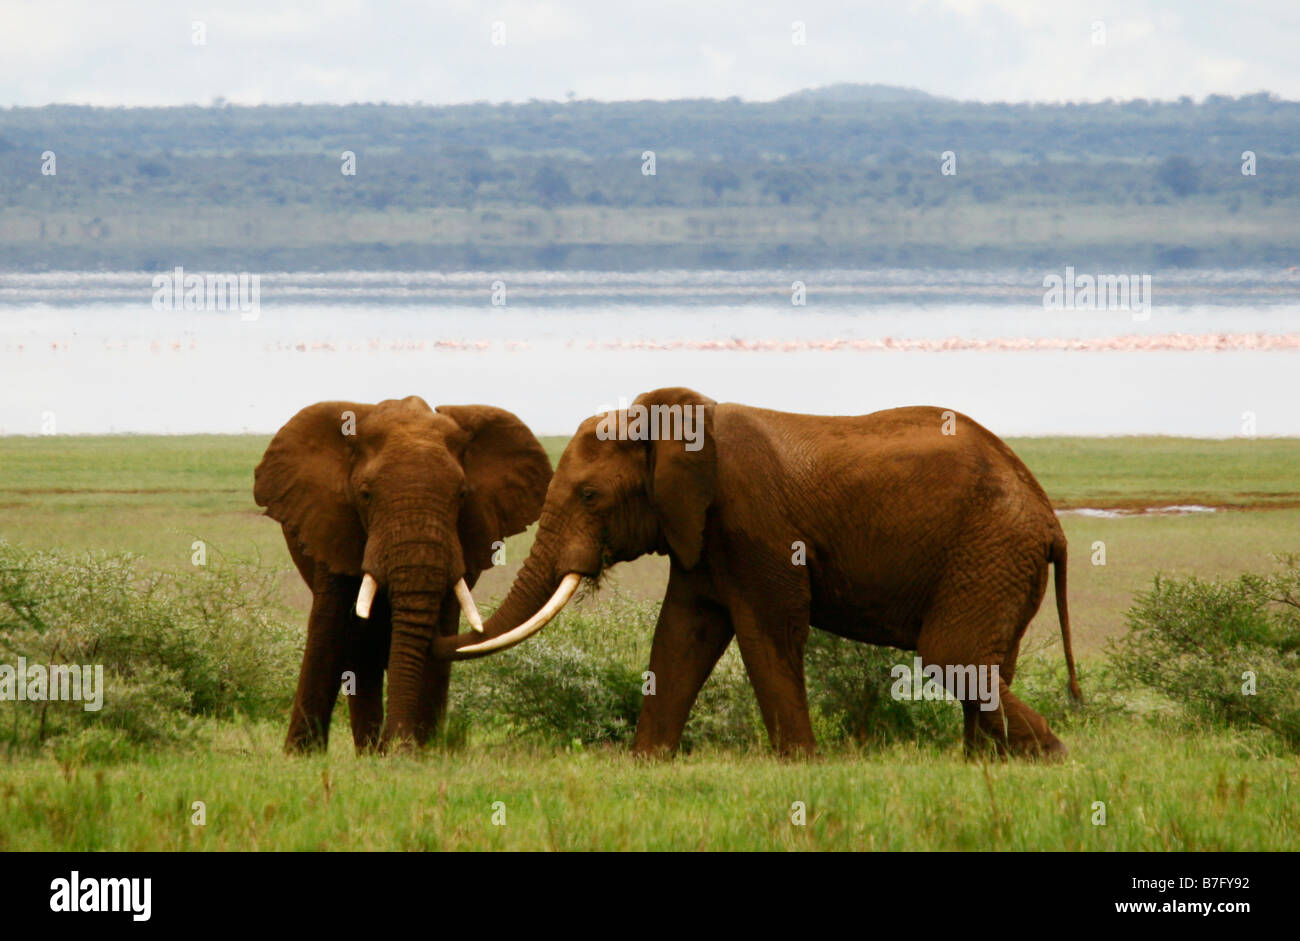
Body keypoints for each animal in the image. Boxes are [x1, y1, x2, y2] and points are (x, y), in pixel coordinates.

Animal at [254, 396, 552, 753]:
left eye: (462, 495)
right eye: (365, 495)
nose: (400, 745)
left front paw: (420, 751)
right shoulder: (332, 523)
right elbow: (330, 626)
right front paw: (300, 756)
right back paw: (369, 751)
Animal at [434, 387, 1082, 759]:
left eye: (590, 496)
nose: (441, 639)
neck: (670, 423)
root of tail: (1050, 518)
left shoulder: (750, 520)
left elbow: (767, 629)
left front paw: (801, 764)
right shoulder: (700, 530)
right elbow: (682, 635)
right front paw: (646, 762)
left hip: (991, 545)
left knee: (953, 657)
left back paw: (1048, 754)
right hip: (998, 557)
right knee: (984, 661)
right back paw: (987, 761)